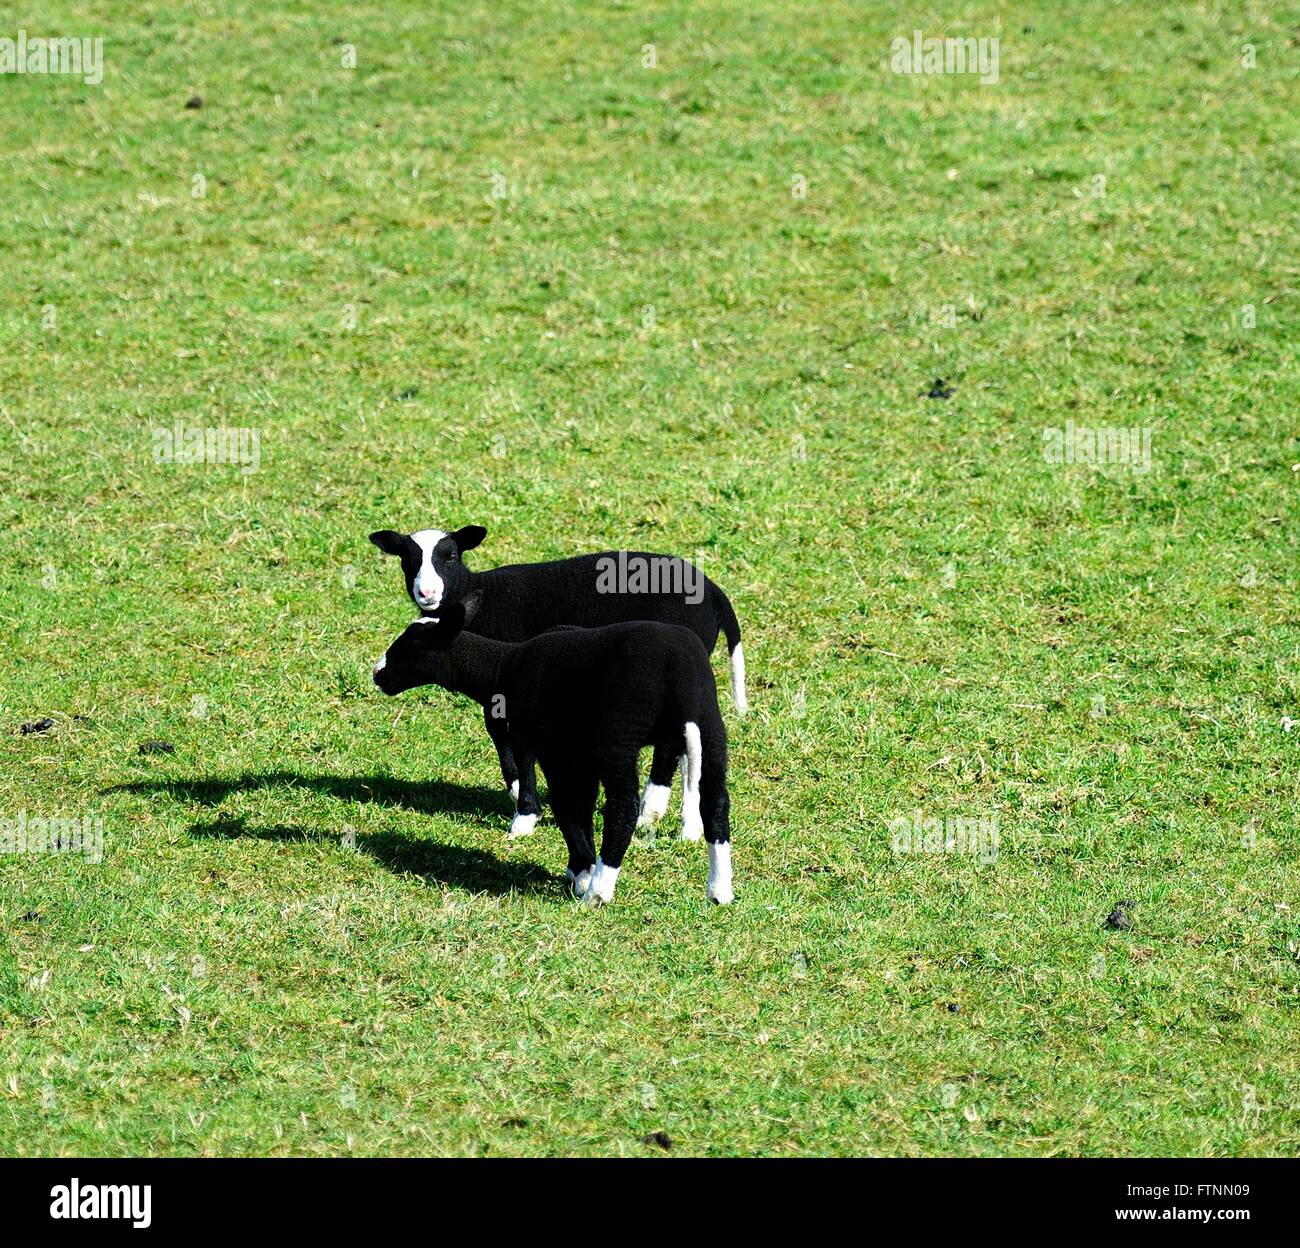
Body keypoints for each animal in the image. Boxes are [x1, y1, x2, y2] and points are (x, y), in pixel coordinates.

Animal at [369, 526, 746, 840]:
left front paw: (521, 798)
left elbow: (502, 733)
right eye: (407, 559)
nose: (426, 592)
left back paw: (650, 811)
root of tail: (714, 591)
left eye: (449, 556)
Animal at [371, 594, 733, 906]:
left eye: (414, 644)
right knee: (715, 803)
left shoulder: (547, 745)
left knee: (623, 807)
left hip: (620, 733)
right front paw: (579, 866)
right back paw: (720, 891)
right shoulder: (578, 753)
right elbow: (579, 804)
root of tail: (679, 674)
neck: (504, 667)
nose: (378, 674)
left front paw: (580, 870)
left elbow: (561, 801)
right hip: (711, 725)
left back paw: (599, 891)